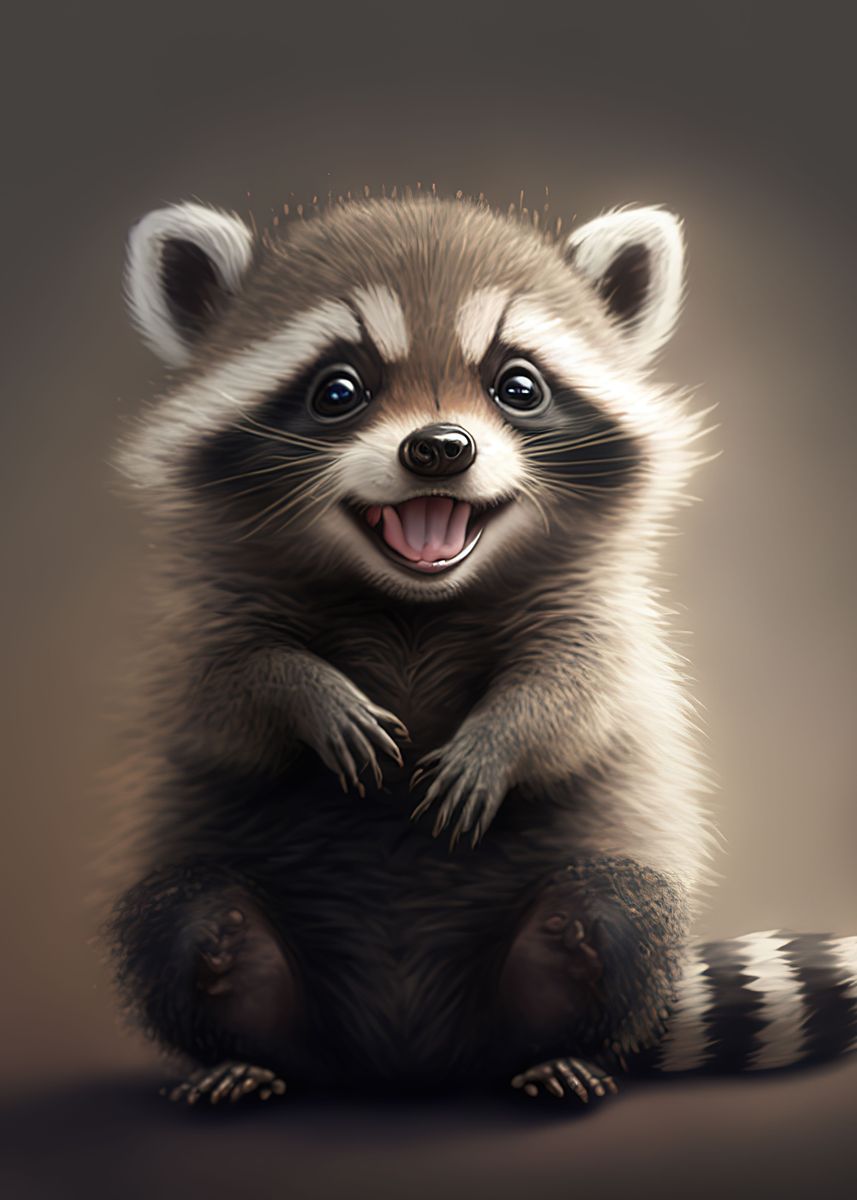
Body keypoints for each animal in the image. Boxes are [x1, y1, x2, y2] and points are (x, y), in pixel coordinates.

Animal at [108, 193, 857, 1106]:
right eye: (338, 389)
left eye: (518, 386)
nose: (438, 448)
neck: (414, 602)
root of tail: (408, 1067)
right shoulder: (196, 617)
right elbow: (220, 690)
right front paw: (304, 691)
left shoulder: (602, 614)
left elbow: (579, 689)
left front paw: (501, 738)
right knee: (185, 918)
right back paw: (238, 1052)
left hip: (582, 919)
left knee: (613, 908)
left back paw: (565, 1047)